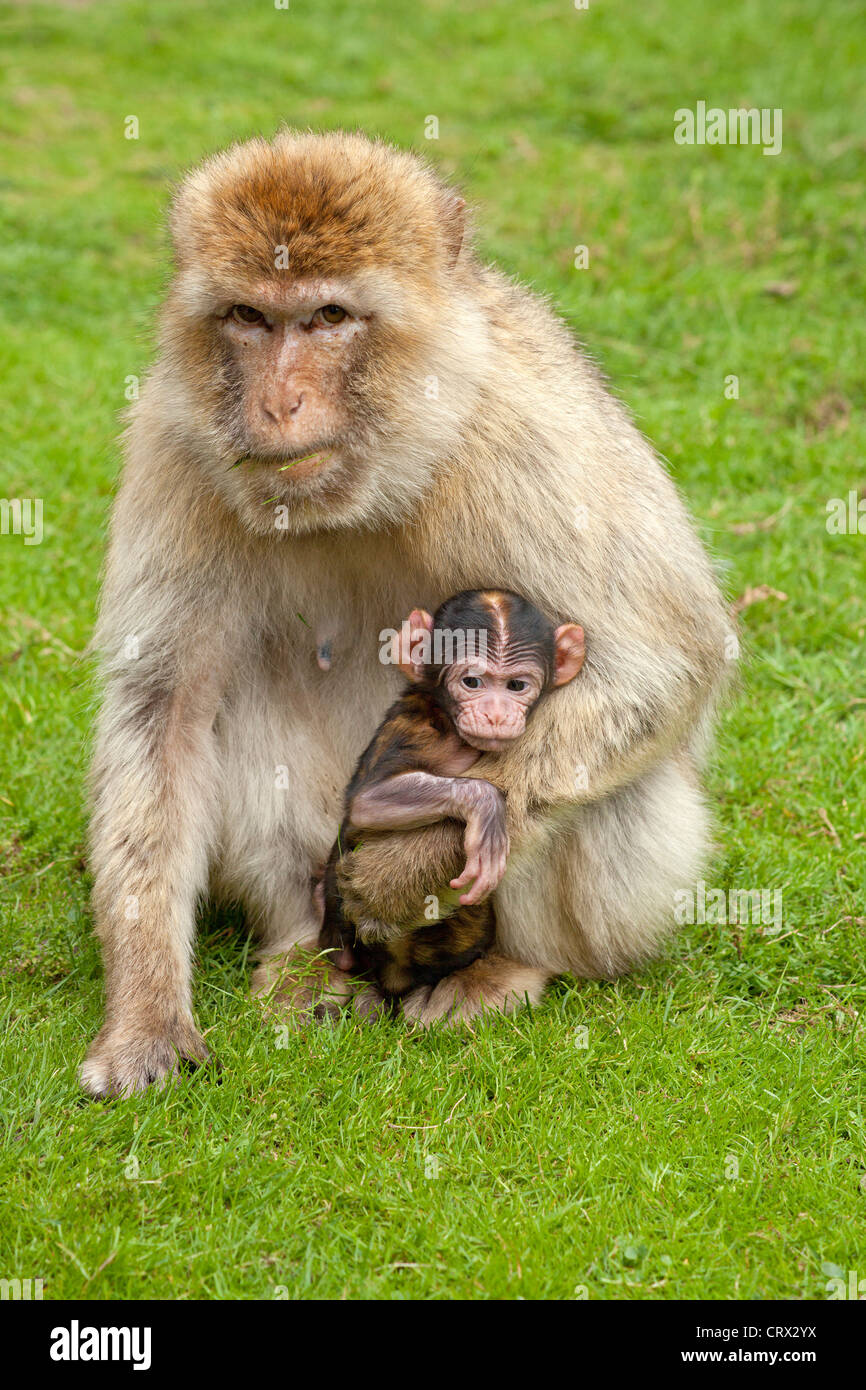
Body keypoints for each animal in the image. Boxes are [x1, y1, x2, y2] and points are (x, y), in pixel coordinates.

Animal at [317, 590, 586, 1005]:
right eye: (472, 681)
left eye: (516, 686)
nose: (496, 715)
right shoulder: (418, 728)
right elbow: (366, 803)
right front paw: (486, 808)